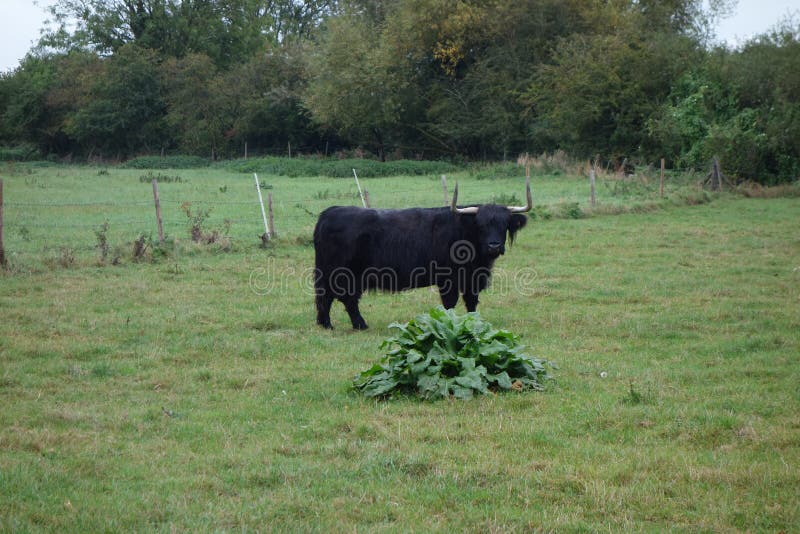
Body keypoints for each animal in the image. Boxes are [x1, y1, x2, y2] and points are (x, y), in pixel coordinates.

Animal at [313, 178, 532, 329]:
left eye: (504, 224)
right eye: (481, 225)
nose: (494, 246)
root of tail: (328, 213)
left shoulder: (472, 279)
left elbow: (471, 302)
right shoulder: (449, 279)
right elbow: (450, 303)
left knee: (329, 296)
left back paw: (328, 324)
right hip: (344, 273)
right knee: (343, 298)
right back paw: (354, 325)